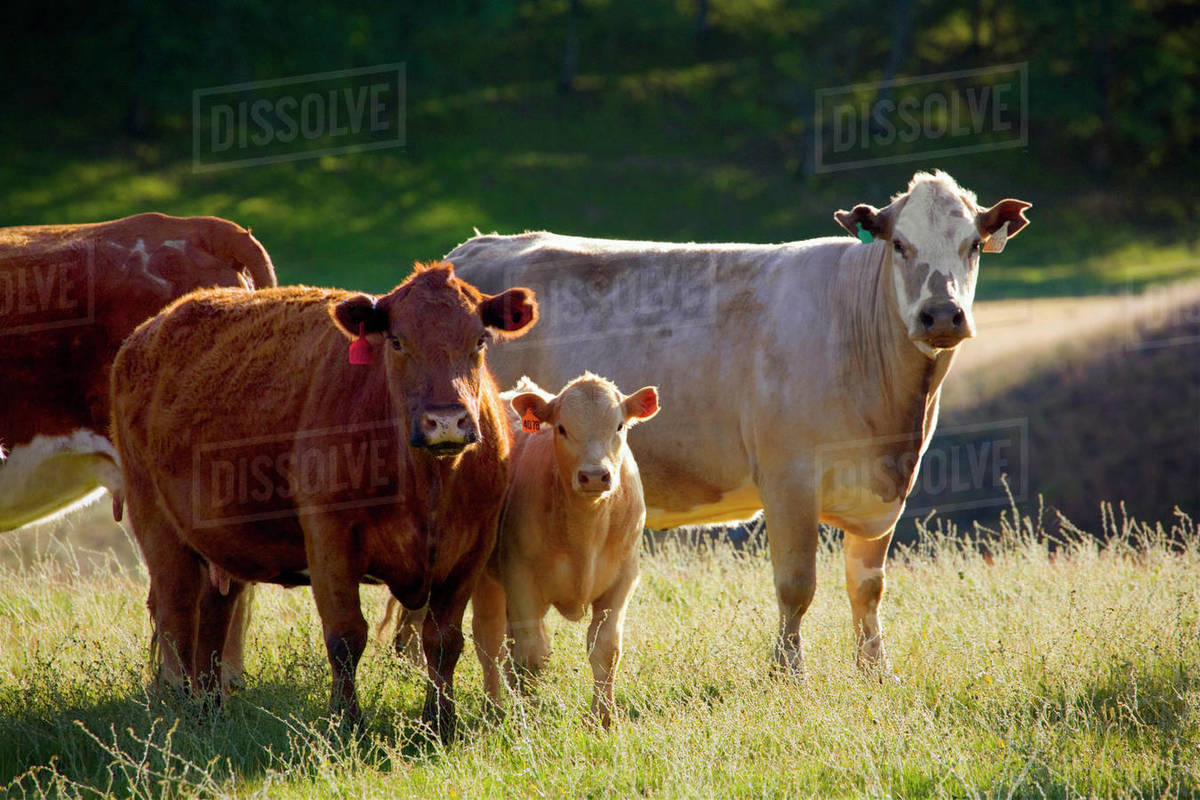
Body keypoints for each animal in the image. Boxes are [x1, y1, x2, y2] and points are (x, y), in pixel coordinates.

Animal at [109, 261, 537, 742]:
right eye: (397, 341)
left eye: (479, 339)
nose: (445, 421)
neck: (428, 481)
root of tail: (144, 335)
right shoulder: (330, 540)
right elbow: (346, 637)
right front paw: (347, 722)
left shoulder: (472, 547)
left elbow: (443, 640)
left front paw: (439, 725)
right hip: (156, 524)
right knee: (177, 618)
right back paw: (184, 715)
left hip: (220, 546)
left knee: (212, 622)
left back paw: (210, 713)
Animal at [442, 170, 1031, 677]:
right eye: (900, 245)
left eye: (973, 245)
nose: (942, 314)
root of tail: (469, 249)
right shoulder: (788, 476)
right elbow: (796, 584)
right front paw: (789, 674)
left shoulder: (882, 495)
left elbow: (867, 587)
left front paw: (875, 672)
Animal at [466, 373, 658, 728]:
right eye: (562, 428)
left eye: (619, 426)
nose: (594, 476)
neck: (585, 531)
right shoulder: (520, 579)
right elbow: (530, 655)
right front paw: (527, 719)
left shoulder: (622, 581)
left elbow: (605, 648)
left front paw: (602, 718)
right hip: (486, 579)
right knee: (490, 641)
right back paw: (495, 709)